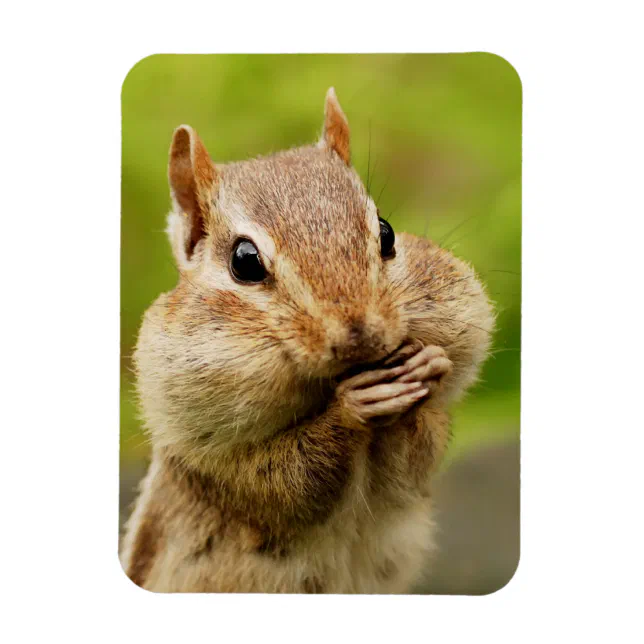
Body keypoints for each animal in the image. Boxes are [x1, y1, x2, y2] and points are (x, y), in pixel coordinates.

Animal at [120, 87, 494, 594]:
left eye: (386, 232)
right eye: (244, 261)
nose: (362, 336)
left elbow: (418, 461)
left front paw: (427, 366)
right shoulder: (215, 460)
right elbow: (288, 484)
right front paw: (351, 407)